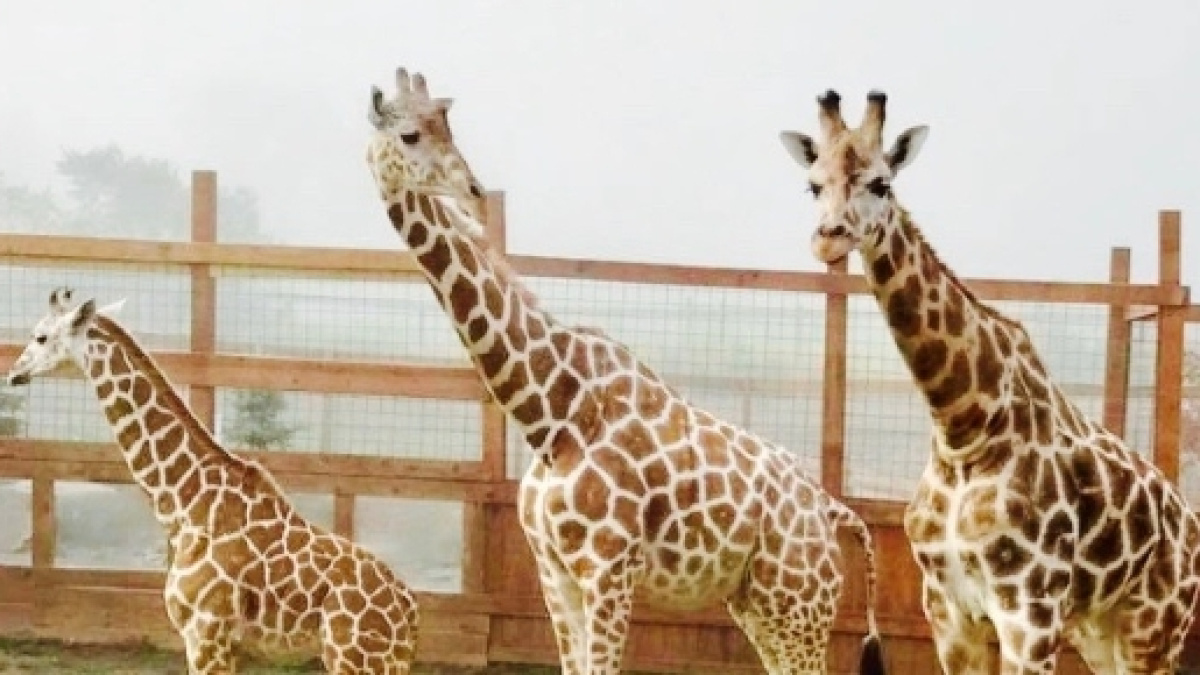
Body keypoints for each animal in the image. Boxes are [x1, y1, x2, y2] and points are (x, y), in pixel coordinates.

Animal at [3, 288, 419, 674]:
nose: (13, 372)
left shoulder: (205, 632)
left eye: (40, 336)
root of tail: (409, 608)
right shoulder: (215, 639)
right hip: (381, 662)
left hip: (356, 658)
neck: (184, 505)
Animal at [363, 65, 887, 675]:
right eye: (410, 135)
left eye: (444, 128)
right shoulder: (556, 575)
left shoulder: (609, 571)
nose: (471, 191)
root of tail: (832, 511)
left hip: (801, 605)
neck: (551, 414)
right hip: (760, 603)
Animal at [779, 90, 1200, 674]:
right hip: (1100, 629)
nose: (828, 239)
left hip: (1154, 628)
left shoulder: (1030, 610)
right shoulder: (948, 610)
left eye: (882, 183)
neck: (963, 426)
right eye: (813, 184)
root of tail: (1189, 524)